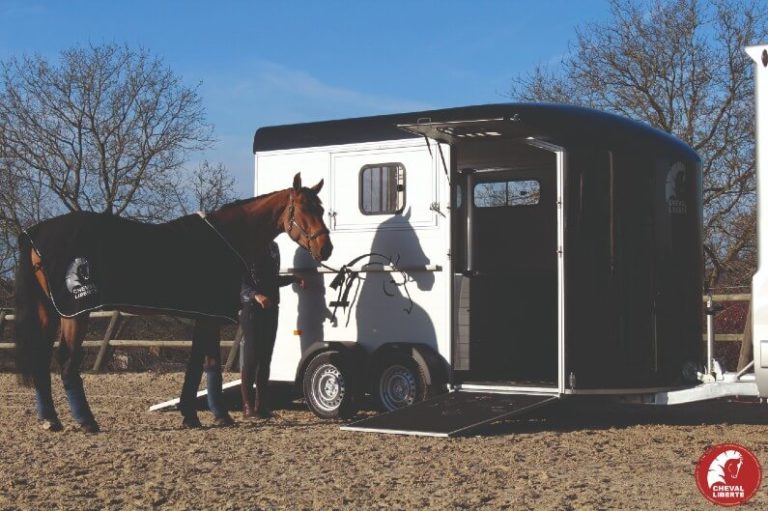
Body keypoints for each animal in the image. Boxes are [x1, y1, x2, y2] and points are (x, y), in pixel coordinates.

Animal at [14, 173, 332, 432]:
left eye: (321, 208)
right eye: (304, 208)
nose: (325, 248)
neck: (226, 237)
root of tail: (35, 233)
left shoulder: (207, 316)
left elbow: (206, 363)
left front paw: (202, 415)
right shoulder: (209, 316)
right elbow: (202, 364)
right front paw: (205, 415)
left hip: (51, 310)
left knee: (41, 358)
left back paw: (50, 419)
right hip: (75, 311)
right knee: (67, 361)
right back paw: (86, 421)